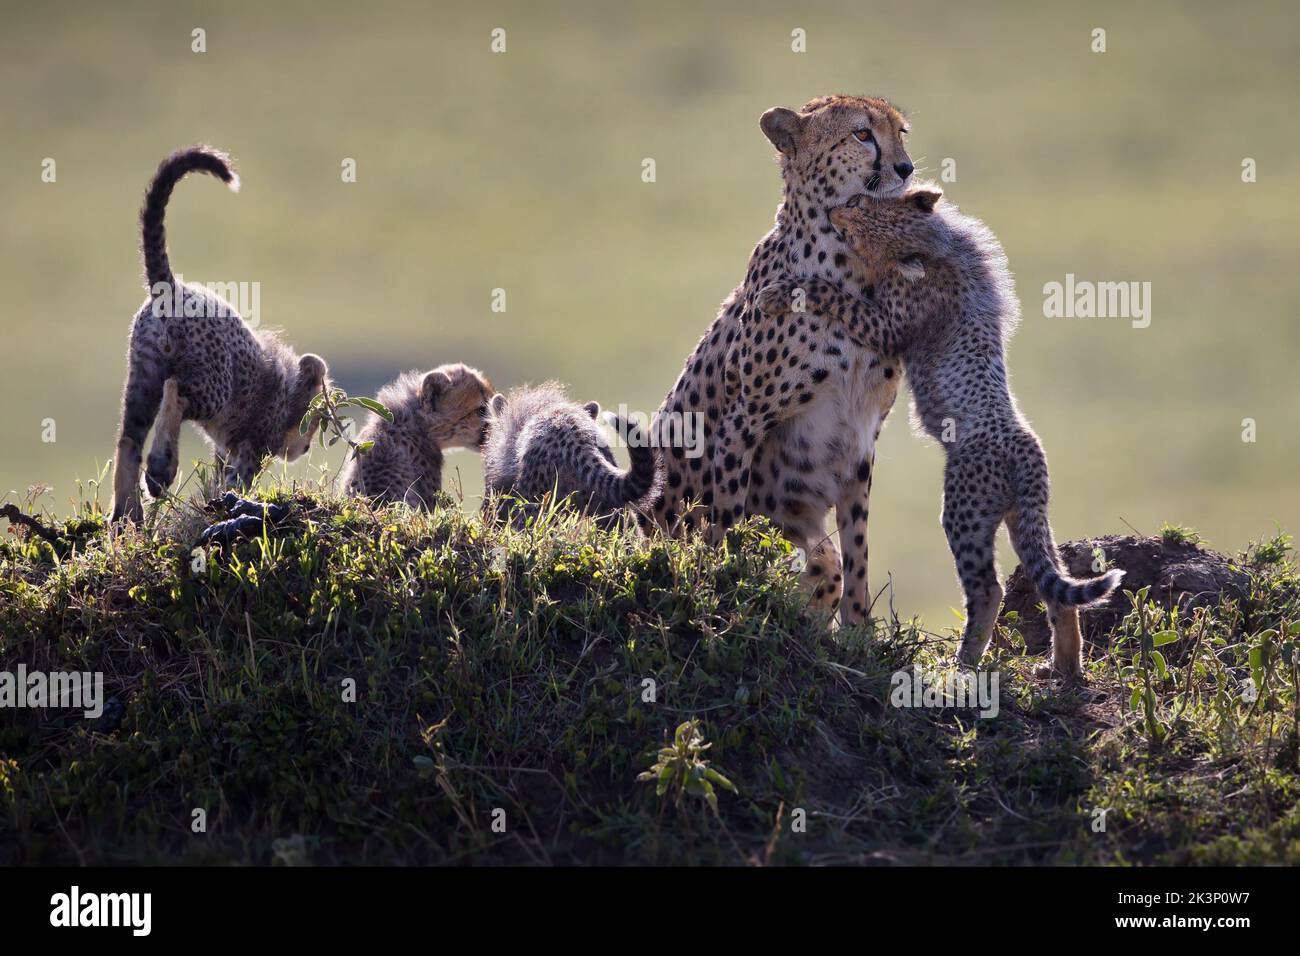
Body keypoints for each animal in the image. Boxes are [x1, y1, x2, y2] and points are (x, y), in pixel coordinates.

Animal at [111, 146, 329, 523]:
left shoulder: (228, 447)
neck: (288, 391)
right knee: (176, 395)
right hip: (212, 386)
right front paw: (230, 503)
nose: (305, 448)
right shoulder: (251, 446)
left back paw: (127, 514)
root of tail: (172, 286)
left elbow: (218, 479)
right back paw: (160, 469)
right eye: (317, 417)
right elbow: (237, 481)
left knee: (128, 438)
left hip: (143, 374)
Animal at [641, 94, 917, 627]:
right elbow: (726, 519)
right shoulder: (743, 418)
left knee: (828, 565)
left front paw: (859, 630)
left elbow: (857, 548)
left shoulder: (860, 437)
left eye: (901, 132)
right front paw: (724, 586)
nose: (905, 168)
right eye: (862, 134)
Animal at [755, 183, 1123, 678]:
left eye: (857, 217)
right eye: (857, 203)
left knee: (988, 589)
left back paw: (963, 663)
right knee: (1053, 583)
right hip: (1026, 515)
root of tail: (1023, 447)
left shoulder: (887, 327)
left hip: (964, 512)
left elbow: (836, 296)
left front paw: (785, 292)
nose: (836, 215)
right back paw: (1062, 668)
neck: (932, 246)